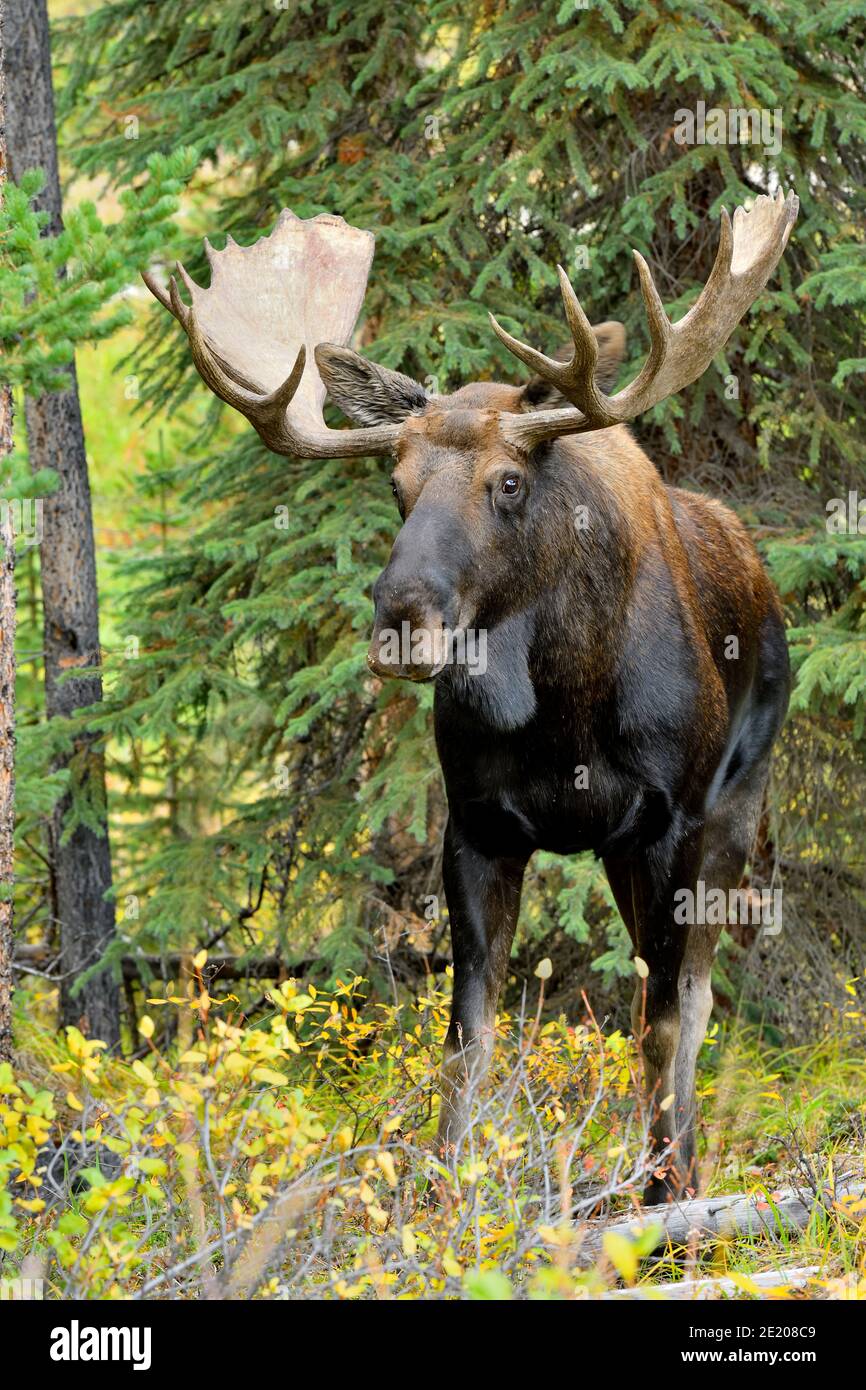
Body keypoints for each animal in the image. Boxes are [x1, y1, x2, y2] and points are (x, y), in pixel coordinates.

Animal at [144, 190, 798, 1203]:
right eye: (397, 481)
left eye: (509, 481)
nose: (402, 614)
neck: (567, 707)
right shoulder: (478, 826)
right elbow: (467, 1037)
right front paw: (444, 1196)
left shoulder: (673, 822)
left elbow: (662, 1022)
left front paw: (663, 1201)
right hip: (621, 852)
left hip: (735, 807)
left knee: (689, 995)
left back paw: (680, 1169)